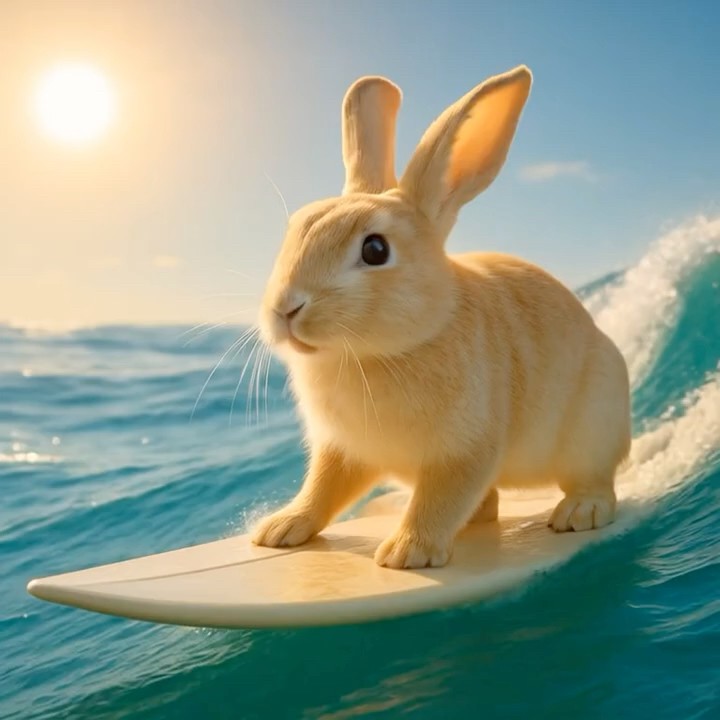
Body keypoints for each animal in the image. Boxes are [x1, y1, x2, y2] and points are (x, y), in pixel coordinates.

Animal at [250, 65, 632, 569]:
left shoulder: (463, 451)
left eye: (376, 250)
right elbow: (322, 491)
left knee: (594, 480)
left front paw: (406, 553)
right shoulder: (342, 451)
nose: (285, 308)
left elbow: (440, 499)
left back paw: (578, 512)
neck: (376, 354)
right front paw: (279, 530)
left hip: (594, 425)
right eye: (295, 229)